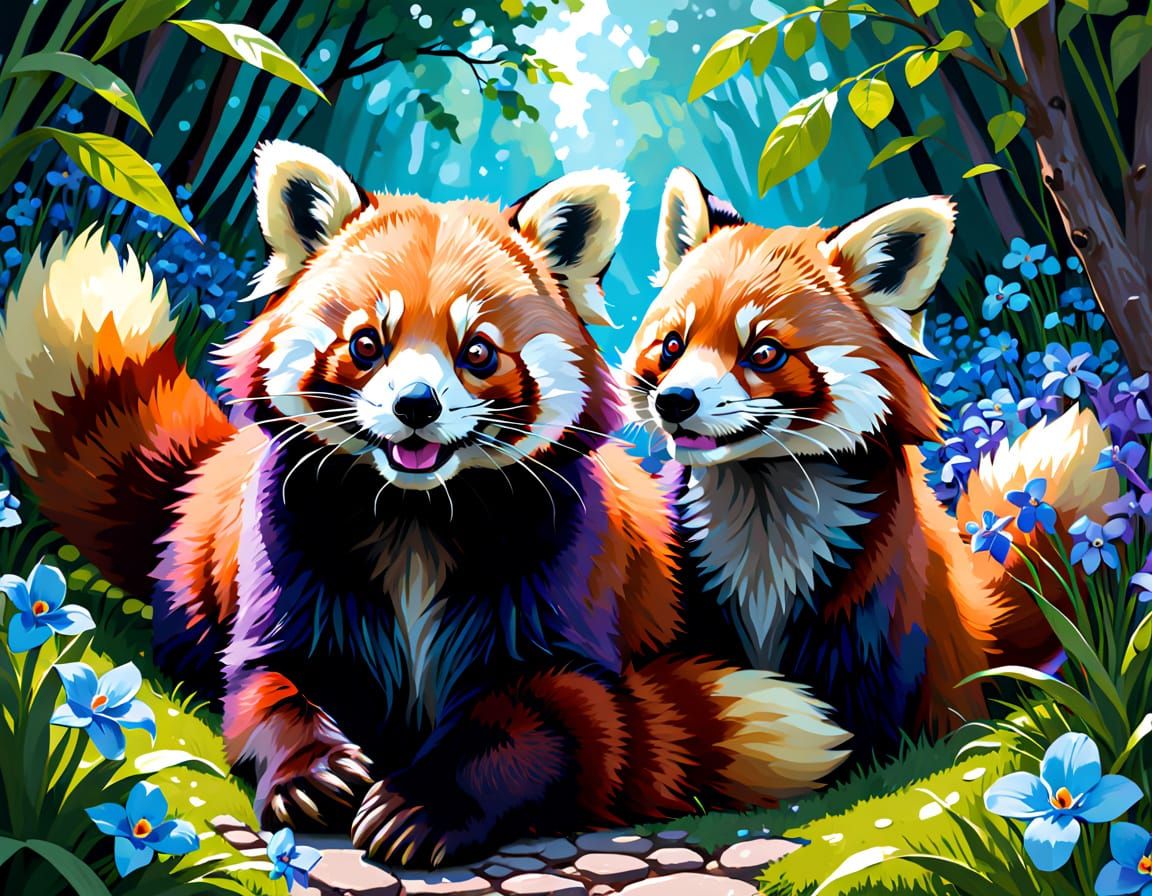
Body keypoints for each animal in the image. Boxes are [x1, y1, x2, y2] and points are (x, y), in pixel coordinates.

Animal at [0, 144, 850, 866]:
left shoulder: (557, 575)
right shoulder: (290, 558)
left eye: (476, 352)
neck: (416, 519)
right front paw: (313, 771)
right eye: (366, 343)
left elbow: (546, 712)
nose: (415, 405)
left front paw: (422, 807)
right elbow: (268, 682)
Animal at [622, 167, 1118, 759]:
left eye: (763, 353)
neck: (764, 528)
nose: (674, 402)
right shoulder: (700, 596)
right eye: (672, 346)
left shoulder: (869, 606)